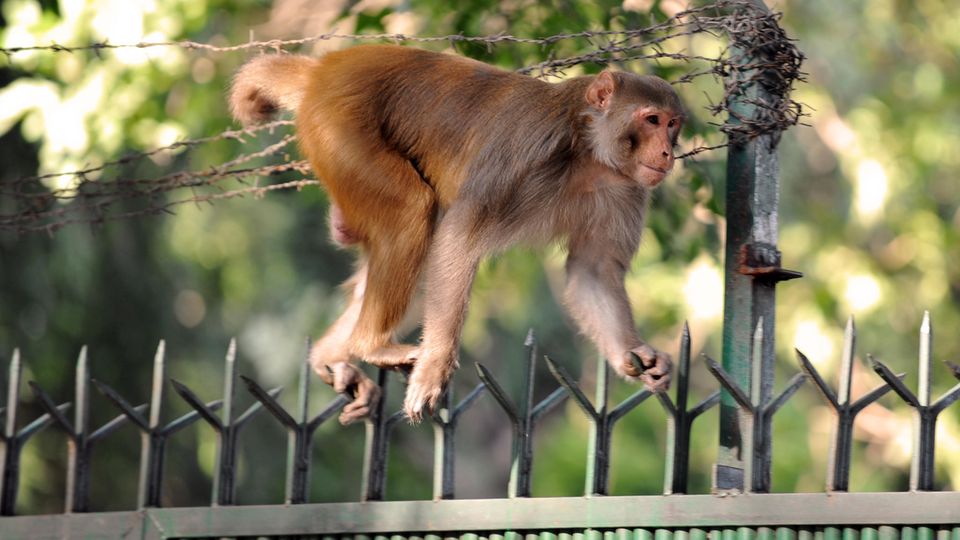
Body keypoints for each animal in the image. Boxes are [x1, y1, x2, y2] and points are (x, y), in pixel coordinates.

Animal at [229, 44, 682, 424]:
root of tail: (325, 68)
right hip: (339, 128)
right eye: (651, 120)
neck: (588, 152)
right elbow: (459, 238)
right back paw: (372, 344)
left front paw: (634, 353)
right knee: (412, 211)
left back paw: (331, 355)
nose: (668, 153)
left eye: (673, 124)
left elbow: (593, 270)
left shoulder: (625, 190)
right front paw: (435, 369)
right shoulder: (527, 154)